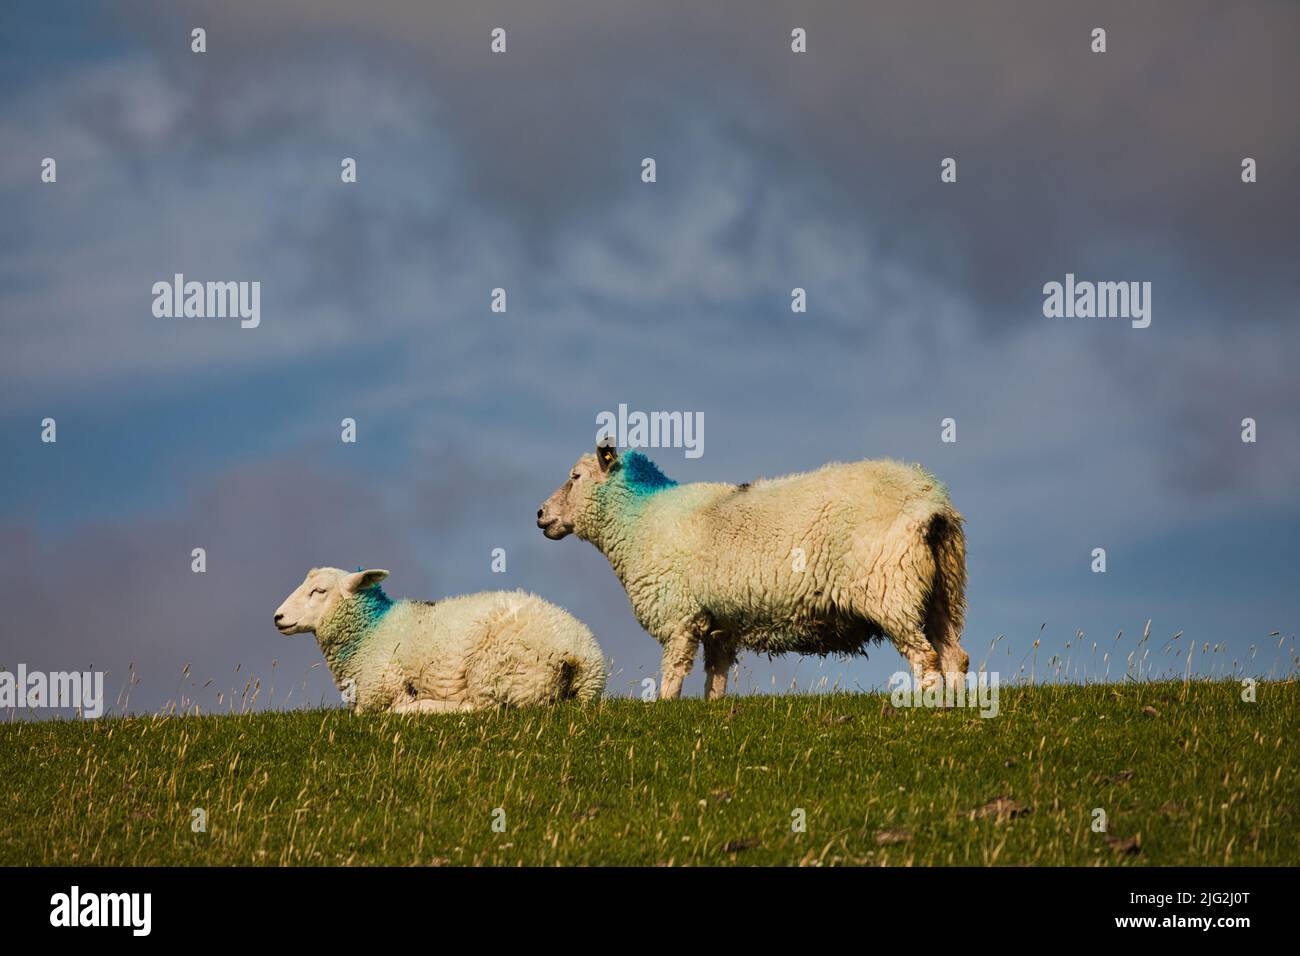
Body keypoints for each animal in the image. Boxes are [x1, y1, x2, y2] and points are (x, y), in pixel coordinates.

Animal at [273, 567, 606, 713]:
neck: (372, 631)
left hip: (498, 671)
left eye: (319, 591)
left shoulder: (381, 688)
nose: (278, 617)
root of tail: (580, 655)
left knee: (483, 708)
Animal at [537, 440, 968, 700]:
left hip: (892, 588)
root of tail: (929, 499)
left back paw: (927, 702)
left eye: (575, 476)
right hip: (942, 592)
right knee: (954, 656)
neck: (640, 518)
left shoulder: (679, 618)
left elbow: (672, 675)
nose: (540, 515)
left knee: (926, 658)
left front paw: (661, 707)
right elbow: (715, 681)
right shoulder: (718, 625)